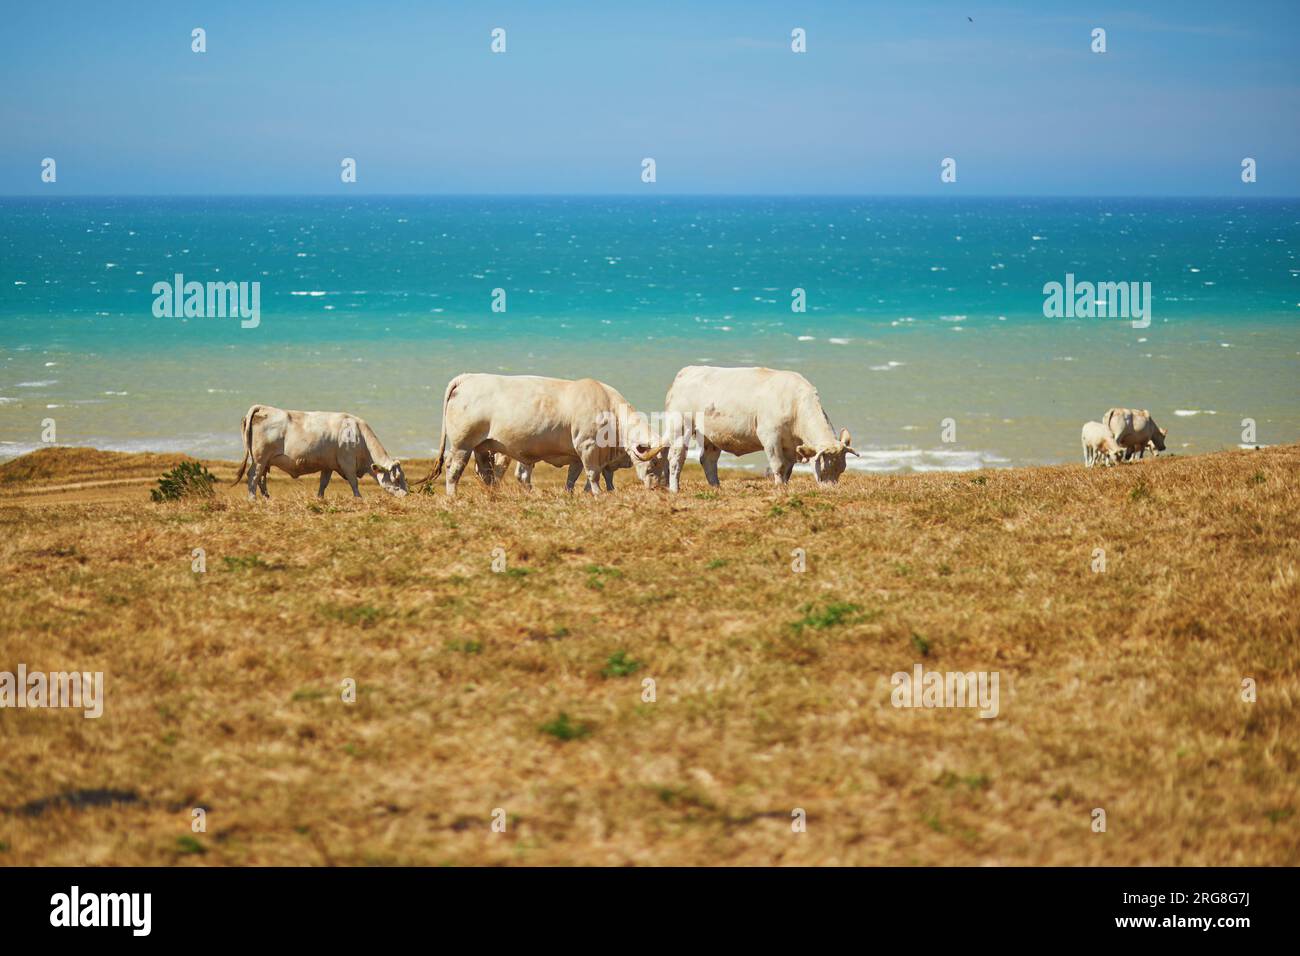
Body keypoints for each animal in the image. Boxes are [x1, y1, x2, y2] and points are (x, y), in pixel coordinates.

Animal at [232, 405, 409, 501]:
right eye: (396, 479)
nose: (406, 495)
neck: (357, 434)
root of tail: (263, 407)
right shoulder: (347, 463)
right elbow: (353, 482)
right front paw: (359, 498)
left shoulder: (328, 465)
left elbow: (323, 483)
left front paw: (319, 498)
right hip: (259, 459)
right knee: (253, 476)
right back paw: (253, 499)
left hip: (265, 461)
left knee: (261, 479)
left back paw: (267, 498)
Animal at [421, 374, 666, 498]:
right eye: (654, 463)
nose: (658, 488)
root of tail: (467, 377)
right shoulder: (587, 446)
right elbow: (593, 474)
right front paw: (598, 494)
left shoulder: (577, 454)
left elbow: (573, 476)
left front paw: (573, 495)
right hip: (463, 444)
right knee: (454, 469)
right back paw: (453, 497)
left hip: (483, 446)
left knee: (486, 473)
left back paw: (492, 495)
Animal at [663, 365, 858, 491]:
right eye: (823, 469)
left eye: (841, 469)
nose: (830, 490)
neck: (795, 404)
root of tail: (686, 371)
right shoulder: (769, 436)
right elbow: (778, 465)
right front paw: (779, 488)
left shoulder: (791, 445)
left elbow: (788, 469)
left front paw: (784, 485)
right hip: (680, 425)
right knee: (676, 458)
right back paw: (674, 489)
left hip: (710, 435)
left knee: (708, 460)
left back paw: (716, 487)